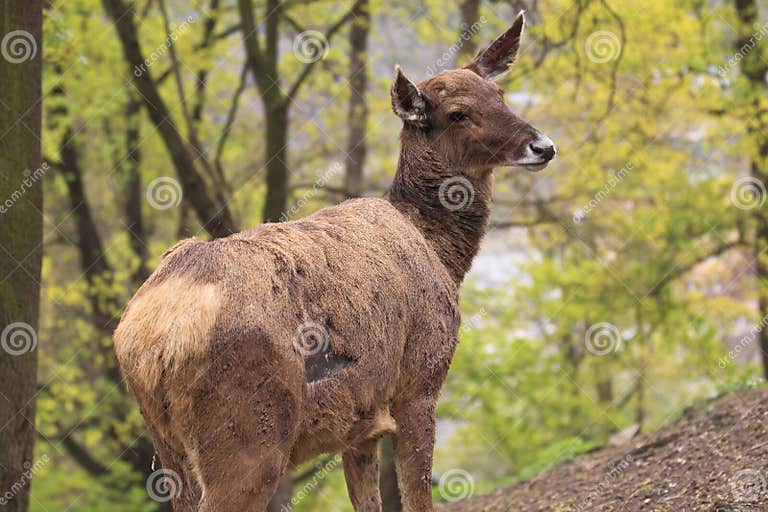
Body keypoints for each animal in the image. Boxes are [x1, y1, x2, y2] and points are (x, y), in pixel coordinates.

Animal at [113, 11, 555, 512]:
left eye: (499, 95)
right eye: (457, 112)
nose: (543, 146)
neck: (441, 252)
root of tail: (150, 340)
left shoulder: (360, 420)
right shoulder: (420, 381)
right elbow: (418, 496)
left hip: (170, 448)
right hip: (247, 434)